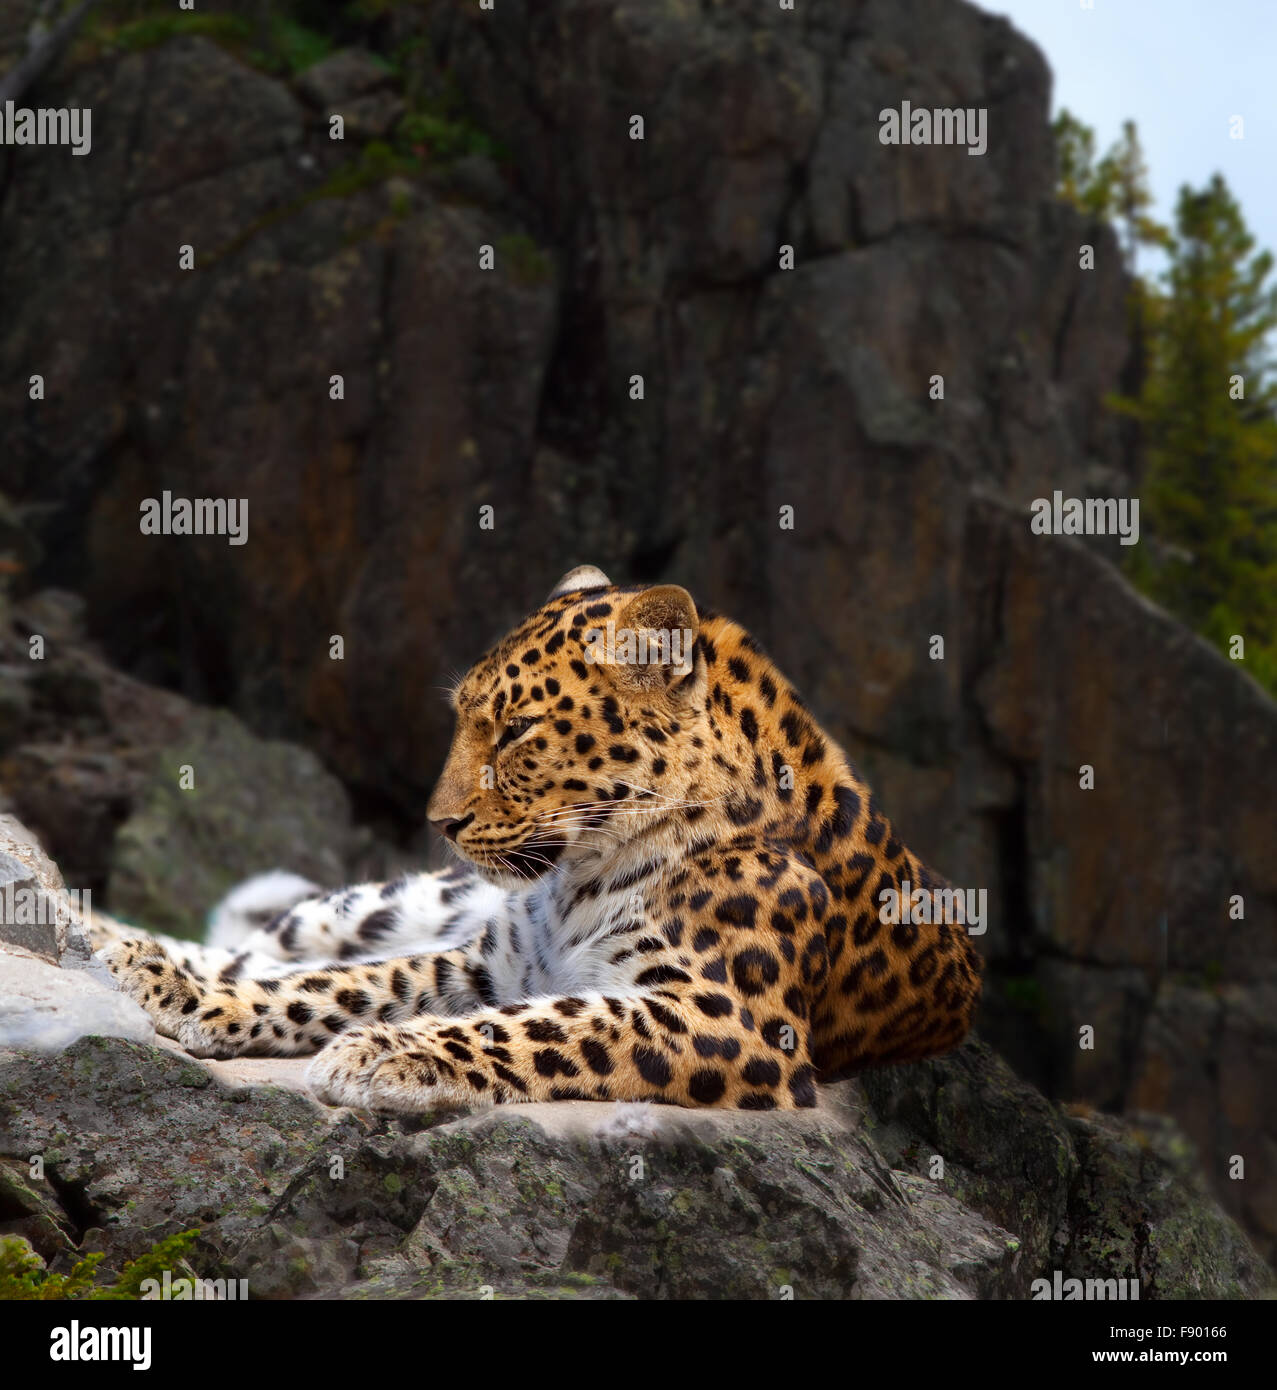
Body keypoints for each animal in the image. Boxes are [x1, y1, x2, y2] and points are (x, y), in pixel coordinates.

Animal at [99, 564, 983, 1112]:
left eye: (519, 728)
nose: (439, 823)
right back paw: (124, 948)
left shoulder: (726, 1017)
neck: (584, 875)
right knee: (269, 943)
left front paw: (383, 1055)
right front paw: (197, 999)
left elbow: (536, 1026)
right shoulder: (487, 962)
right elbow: (341, 983)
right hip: (390, 902)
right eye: (465, 715)